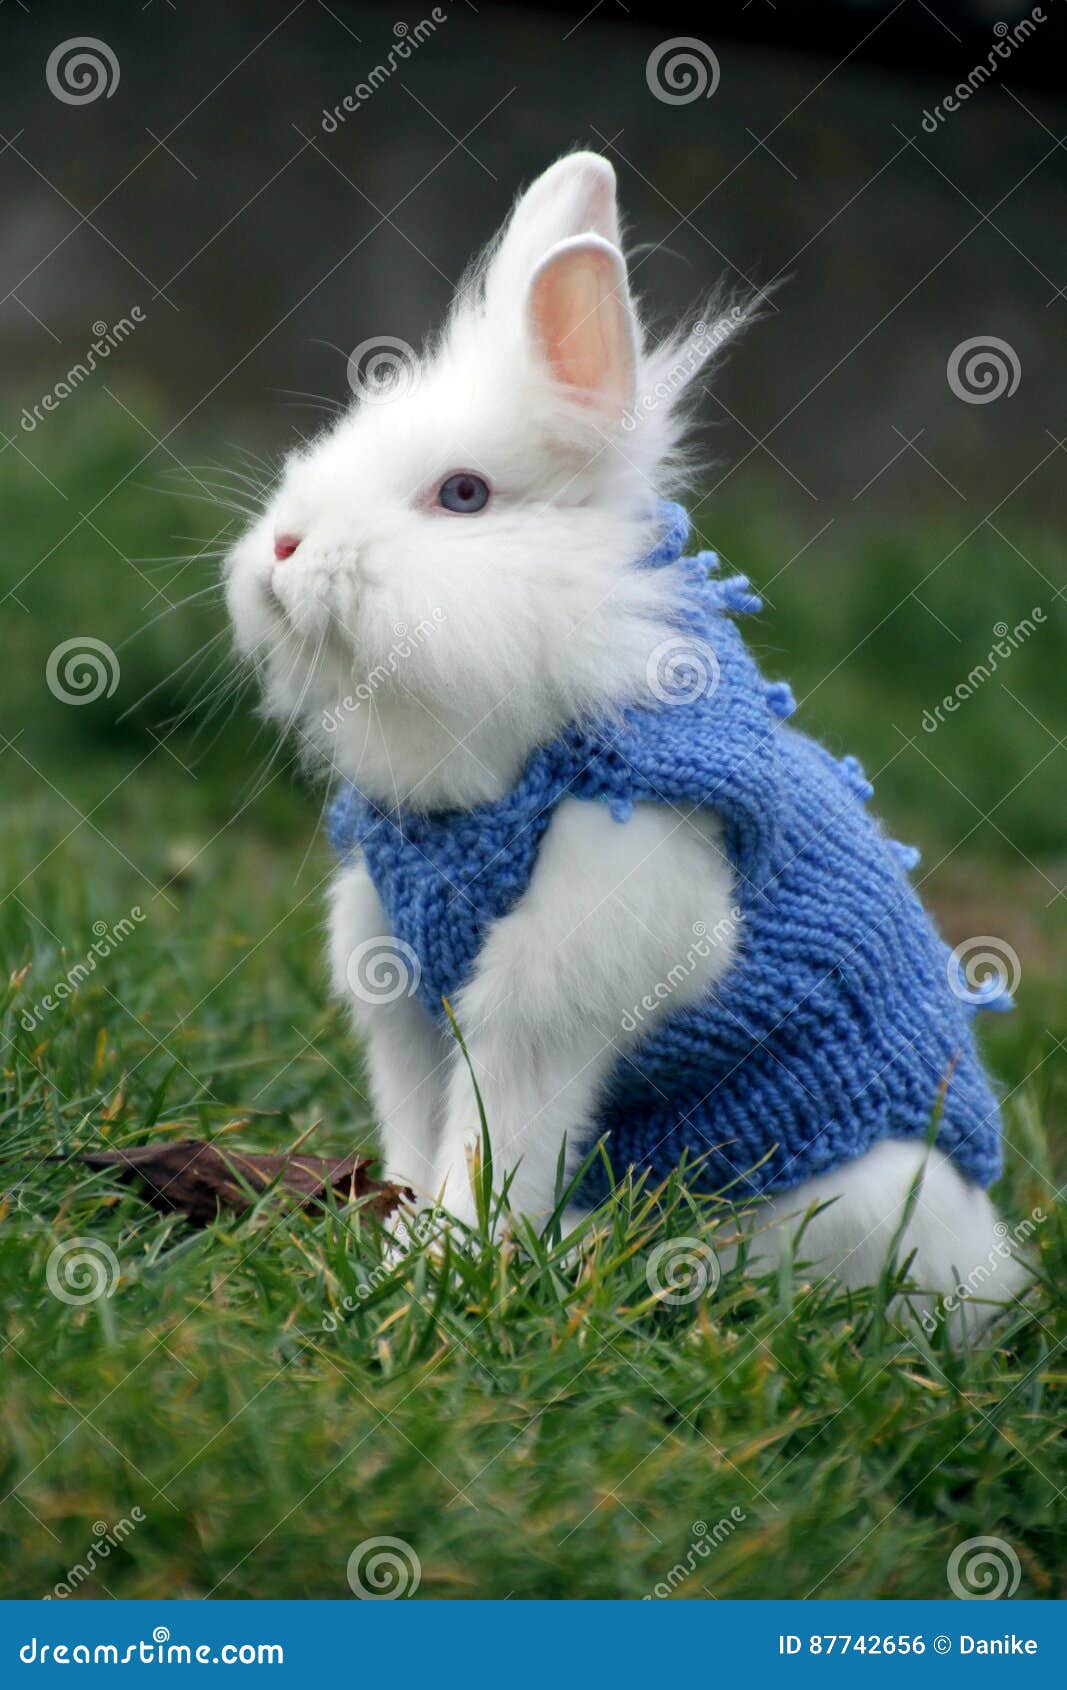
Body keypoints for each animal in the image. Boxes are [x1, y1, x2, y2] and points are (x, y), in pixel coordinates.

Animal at [225, 151, 1028, 1328]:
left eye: (461, 494)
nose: (280, 550)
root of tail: (987, 1271)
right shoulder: (401, 988)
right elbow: (421, 1126)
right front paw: (401, 1234)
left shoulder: (553, 982)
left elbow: (498, 1137)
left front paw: (441, 1262)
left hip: (833, 1190)